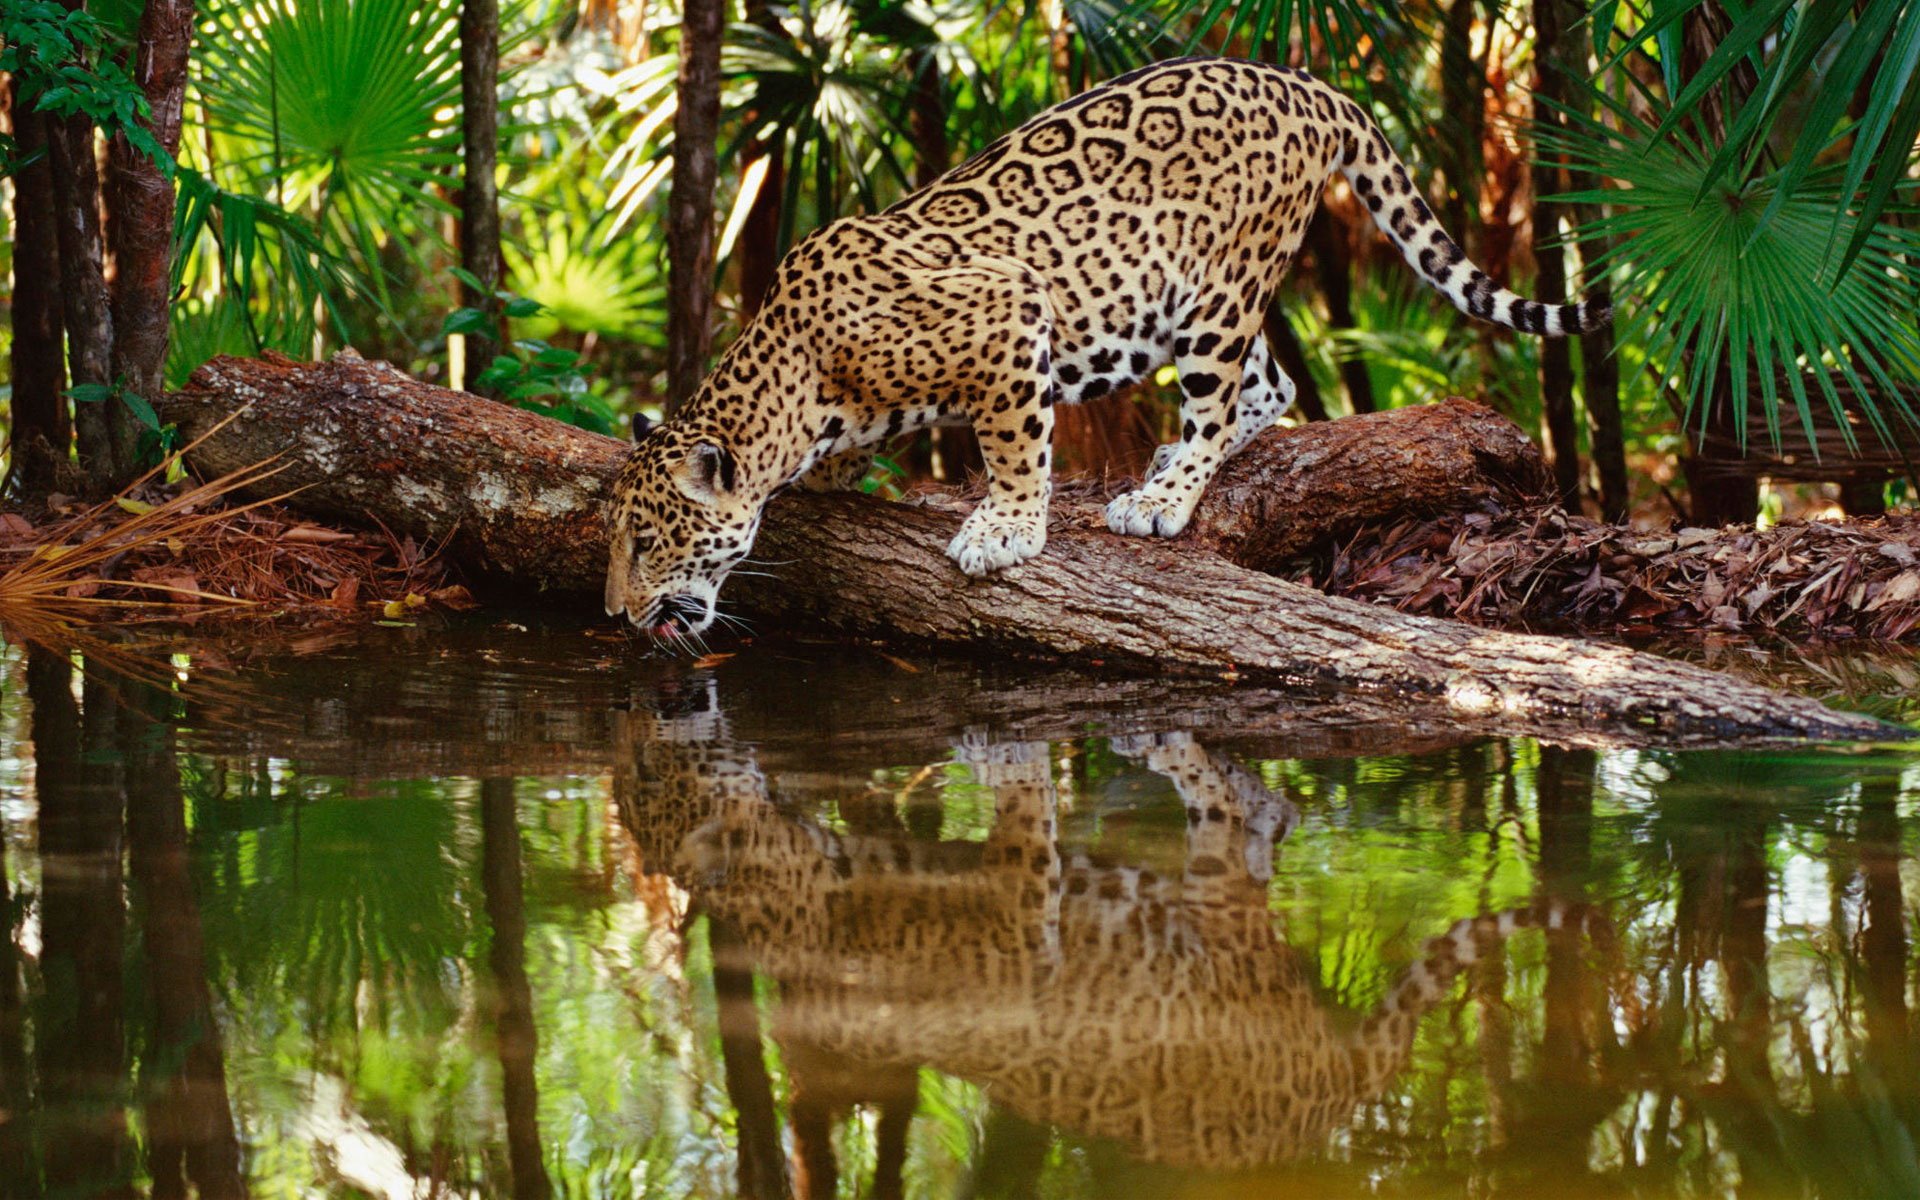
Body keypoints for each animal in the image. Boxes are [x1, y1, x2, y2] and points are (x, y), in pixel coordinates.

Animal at [604, 54, 1610, 637]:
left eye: (649, 540)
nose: (617, 613)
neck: (796, 377)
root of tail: (1306, 82)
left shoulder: (1009, 310)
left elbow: (1014, 444)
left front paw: (1006, 528)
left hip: (1219, 289)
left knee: (1221, 397)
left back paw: (1163, 496)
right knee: (1273, 383)